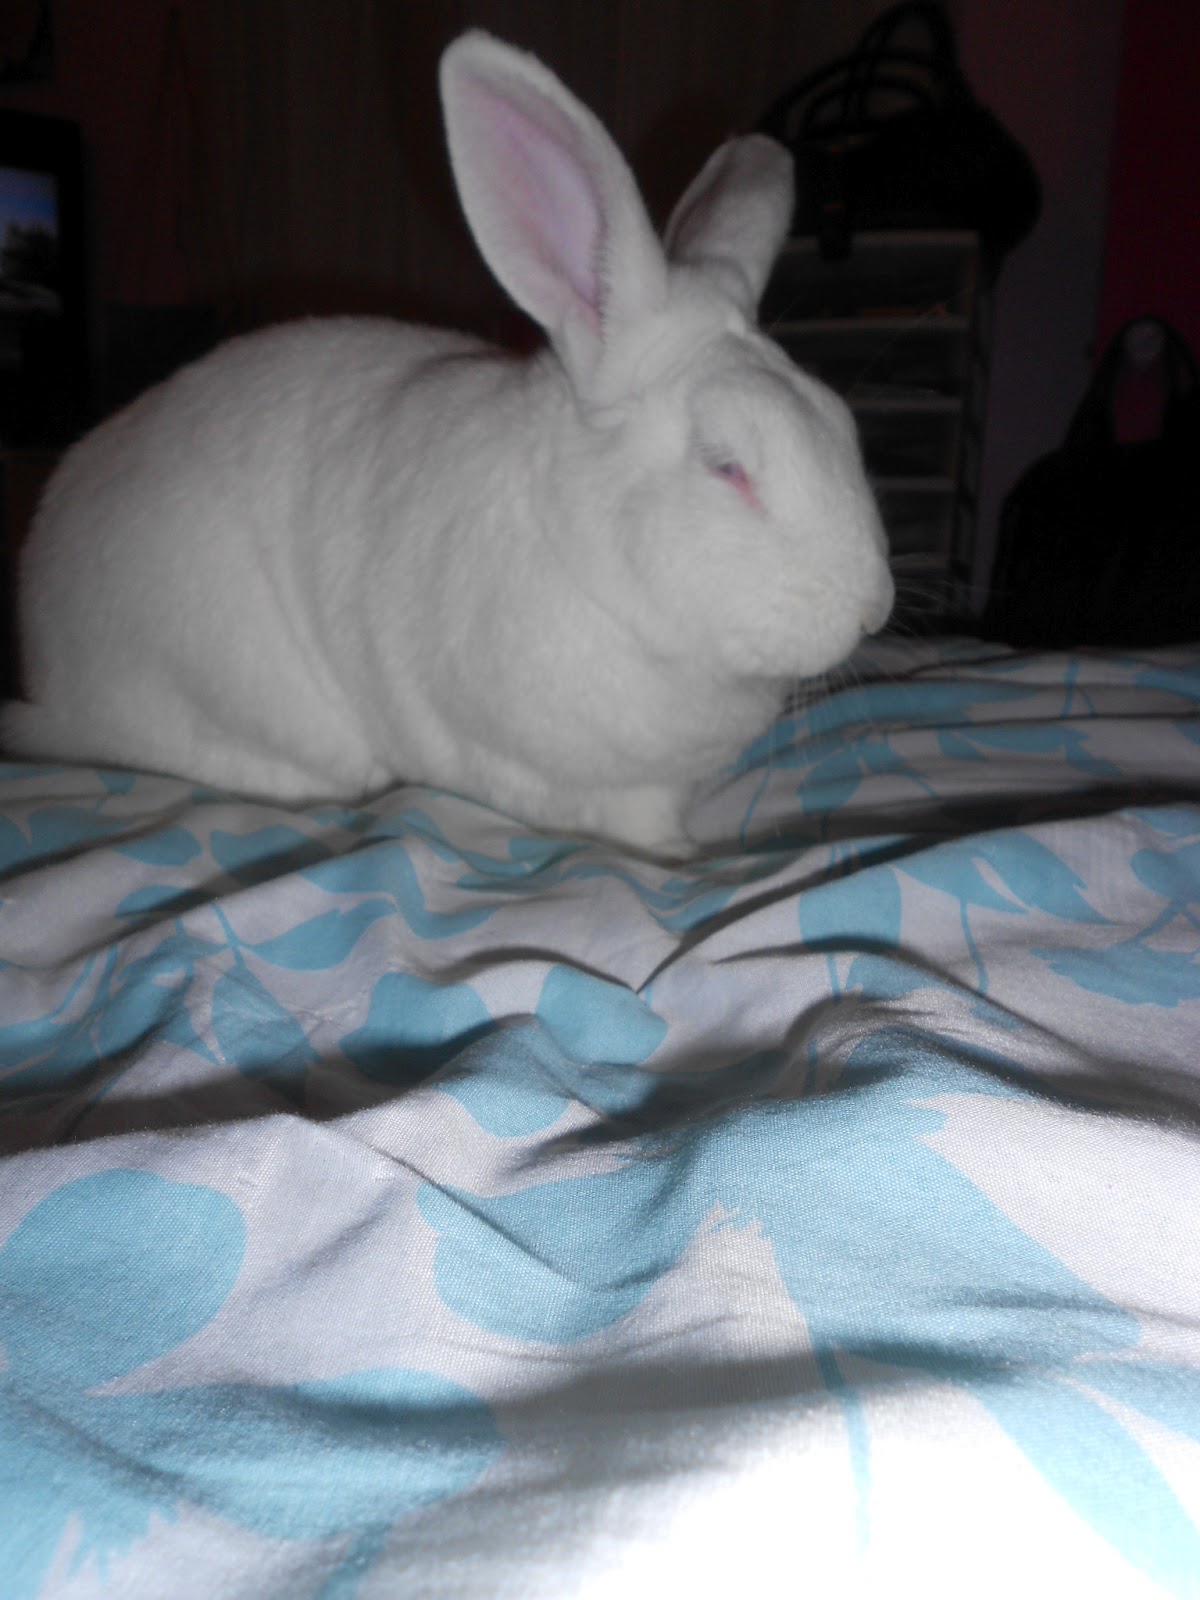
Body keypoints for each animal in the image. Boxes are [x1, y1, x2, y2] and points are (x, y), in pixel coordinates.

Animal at [1, 30, 892, 858]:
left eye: (842, 423)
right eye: (726, 465)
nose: (873, 609)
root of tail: (46, 670)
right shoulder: (546, 767)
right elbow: (629, 825)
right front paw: (678, 862)